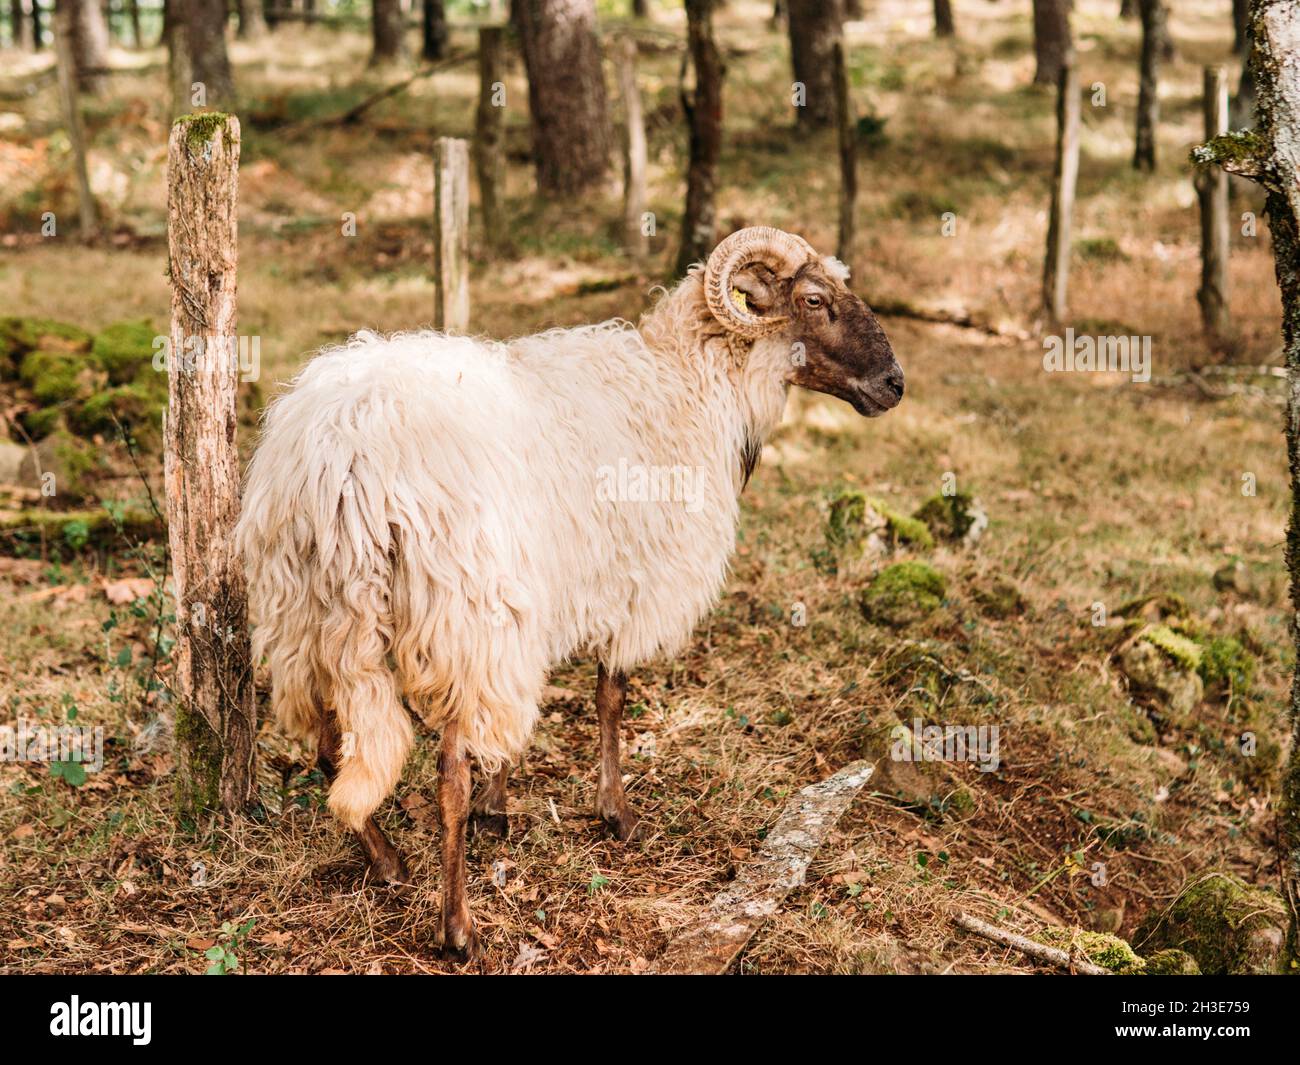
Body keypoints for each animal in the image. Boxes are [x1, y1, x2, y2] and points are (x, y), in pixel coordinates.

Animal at [234, 226, 904, 956]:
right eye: (813, 299)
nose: (895, 384)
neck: (692, 384)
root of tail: (342, 453)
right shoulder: (633, 580)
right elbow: (610, 697)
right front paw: (615, 813)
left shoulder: (549, 589)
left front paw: (500, 805)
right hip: (458, 615)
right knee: (445, 777)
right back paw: (457, 927)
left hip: (309, 617)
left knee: (331, 750)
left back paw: (386, 859)